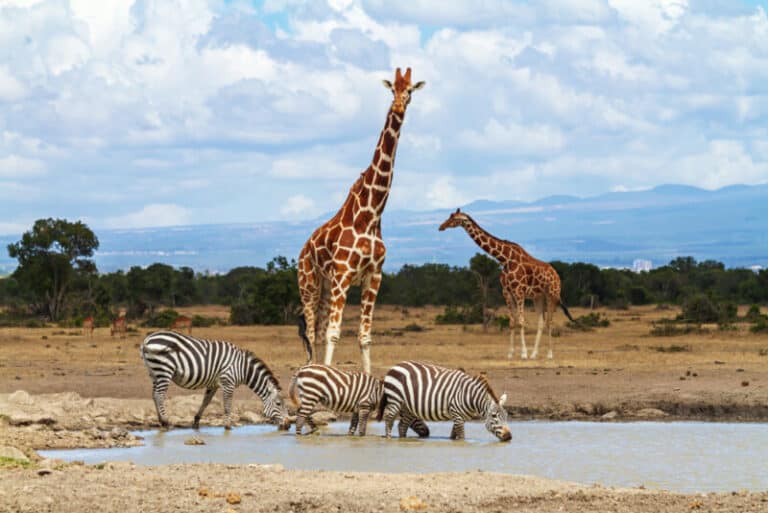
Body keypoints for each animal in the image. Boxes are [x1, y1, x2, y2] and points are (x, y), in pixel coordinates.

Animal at [140, 331, 290, 431]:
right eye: (278, 404)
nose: (288, 425)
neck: (243, 368)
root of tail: (147, 339)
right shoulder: (228, 382)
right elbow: (227, 406)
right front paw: (228, 426)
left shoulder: (214, 384)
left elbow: (206, 402)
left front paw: (196, 421)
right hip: (164, 370)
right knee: (159, 395)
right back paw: (165, 421)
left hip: (154, 373)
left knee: (154, 394)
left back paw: (160, 420)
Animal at [291, 315, 429, 437]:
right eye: (417, 416)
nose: (427, 433)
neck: (380, 392)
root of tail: (302, 368)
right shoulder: (364, 406)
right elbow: (362, 429)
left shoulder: (356, 408)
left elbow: (352, 428)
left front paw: (351, 439)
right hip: (311, 394)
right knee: (301, 416)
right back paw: (301, 435)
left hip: (309, 396)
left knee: (301, 412)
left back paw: (313, 430)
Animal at [298, 67, 425, 374]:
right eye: (392, 89)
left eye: (410, 91)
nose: (399, 107)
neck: (371, 214)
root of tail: (303, 248)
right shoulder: (344, 274)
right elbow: (334, 333)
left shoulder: (373, 276)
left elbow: (364, 335)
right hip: (309, 284)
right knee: (312, 331)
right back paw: (311, 370)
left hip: (326, 288)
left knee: (318, 330)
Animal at [377, 361, 511, 441]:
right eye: (494, 416)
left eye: (506, 416)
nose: (509, 436)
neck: (470, 397)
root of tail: (395, 366)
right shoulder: (457, 415)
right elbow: (461, 437)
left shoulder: (460, 417)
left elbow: (453, 435)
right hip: (395, 399)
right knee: (389, 419)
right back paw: (389, 439)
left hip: (408, 407)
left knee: (402, 426)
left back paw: (403, 441)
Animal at [439, 209, 574, 360]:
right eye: (449, 216)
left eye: (454, 218)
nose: (441, 227)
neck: (505, 259)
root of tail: (557, 275)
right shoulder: (507, 292)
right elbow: (512, 322)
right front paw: (511, 353)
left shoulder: (519, 291)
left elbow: (521, 321)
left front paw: (523, 353)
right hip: (538, 297)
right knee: (541, 322)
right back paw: (534, 354)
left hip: (552, 295)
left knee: (550, 321)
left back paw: (549, 354)